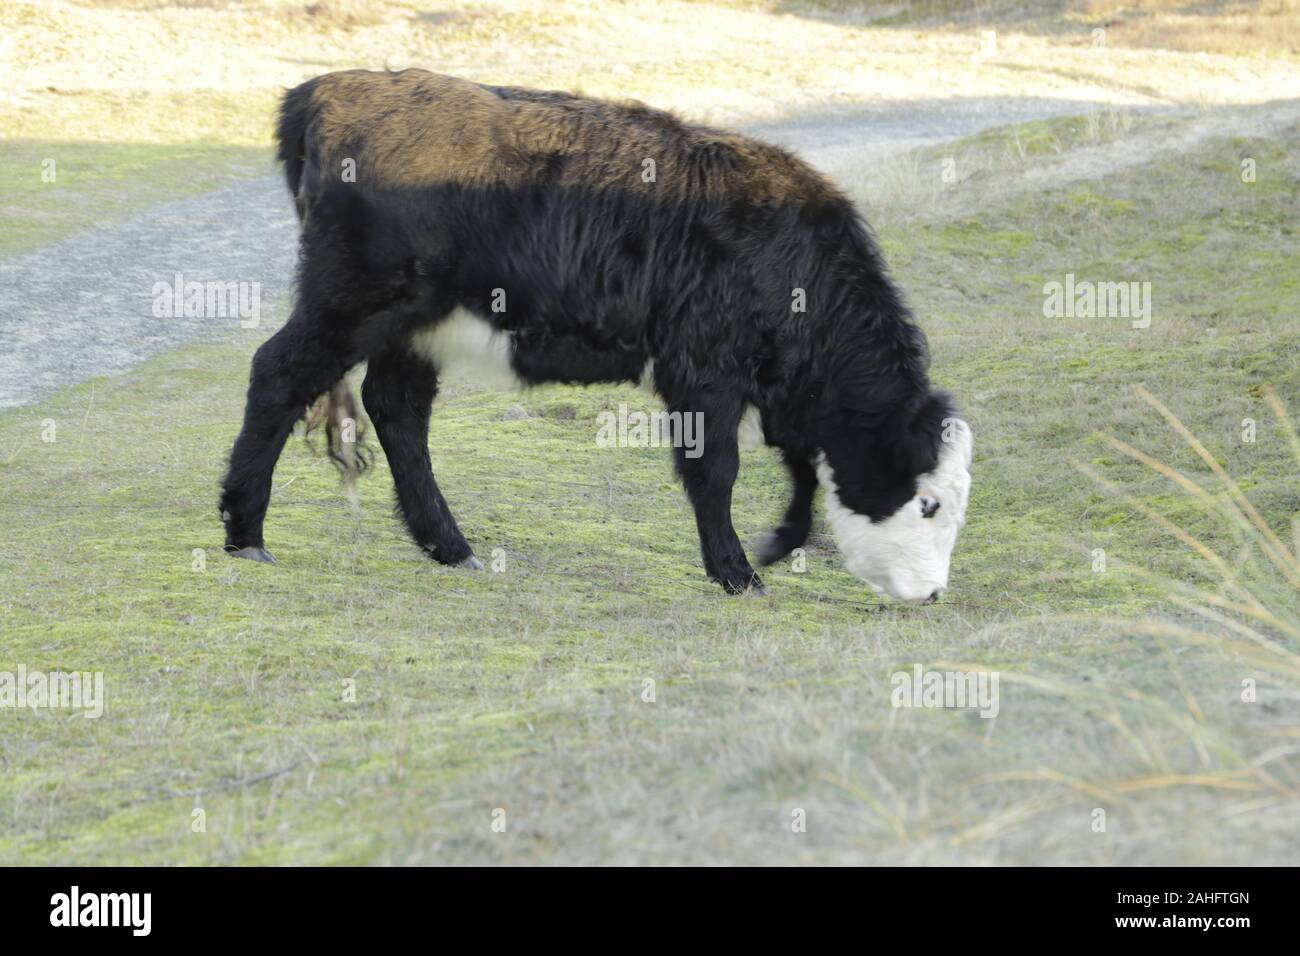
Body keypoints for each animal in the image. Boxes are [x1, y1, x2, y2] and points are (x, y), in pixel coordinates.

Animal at [218, 69, 973, 602]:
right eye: (928, 502)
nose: (934, 594)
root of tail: (330, 90)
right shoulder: (703, 372)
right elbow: (716, 470)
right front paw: (735, 572)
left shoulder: (776, 391)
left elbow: (800, 470)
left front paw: (774, 546)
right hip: (348, 303)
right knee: (277, 374)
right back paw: (244, 532)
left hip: (412, 322)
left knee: (398, 409)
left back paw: (450, 546)